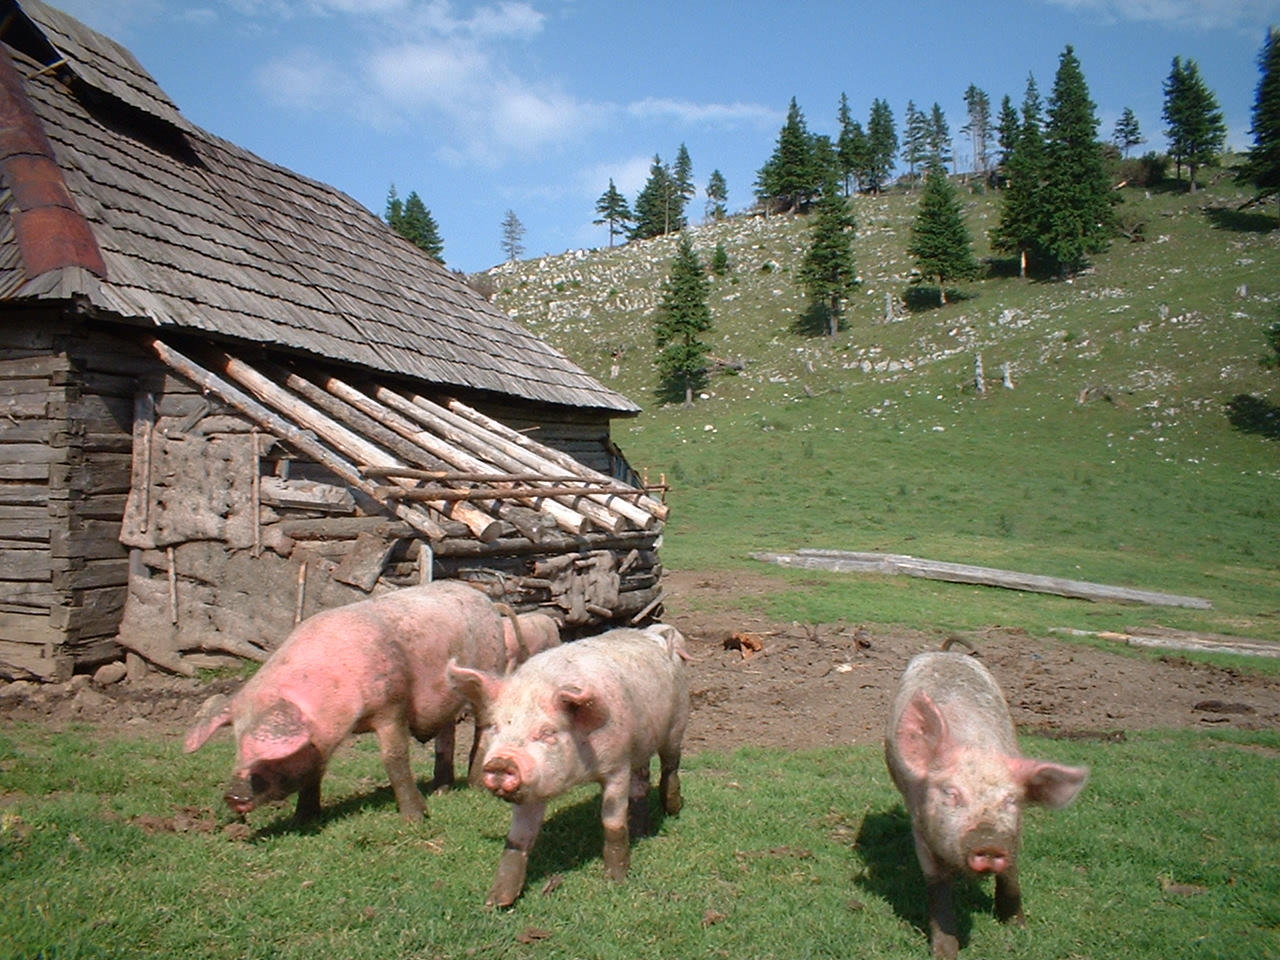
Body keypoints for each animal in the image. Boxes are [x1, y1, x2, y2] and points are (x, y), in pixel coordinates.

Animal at [183, 581, 559, 823]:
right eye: (236, 745)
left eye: (269, 752)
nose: (233, 795)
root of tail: (486, 600)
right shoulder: (323, 734)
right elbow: (317, 769)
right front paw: (305, 818)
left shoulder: (392, 706)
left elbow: (394, 759)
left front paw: (415, 819)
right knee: (446, 734)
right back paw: (441, 789)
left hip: (488, 671)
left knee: (482, 728)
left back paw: (475, 786)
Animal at [447, 623, 691, 907]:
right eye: (495, 727)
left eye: (547, 732)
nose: (501, 762)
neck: (581, 774)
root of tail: (656, 631)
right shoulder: (532, 787)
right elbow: (518, 839)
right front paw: (497, 902)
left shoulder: (617, 765)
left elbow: (612, 822)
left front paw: (616, 880)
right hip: (640, 747)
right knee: (641, 781)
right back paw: (640, 831)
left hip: (677, 726)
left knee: (670, 766)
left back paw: (673, 810)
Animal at [884, 650, 1089, 960]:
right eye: (950, 792)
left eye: (1010, 800)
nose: (989, 841)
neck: (975, 747)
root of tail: (942, 651)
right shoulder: (919, 822)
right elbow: (937, 885)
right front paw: (945, 952)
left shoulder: (1014, 830)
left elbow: (1011, 873)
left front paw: (1018, 927)